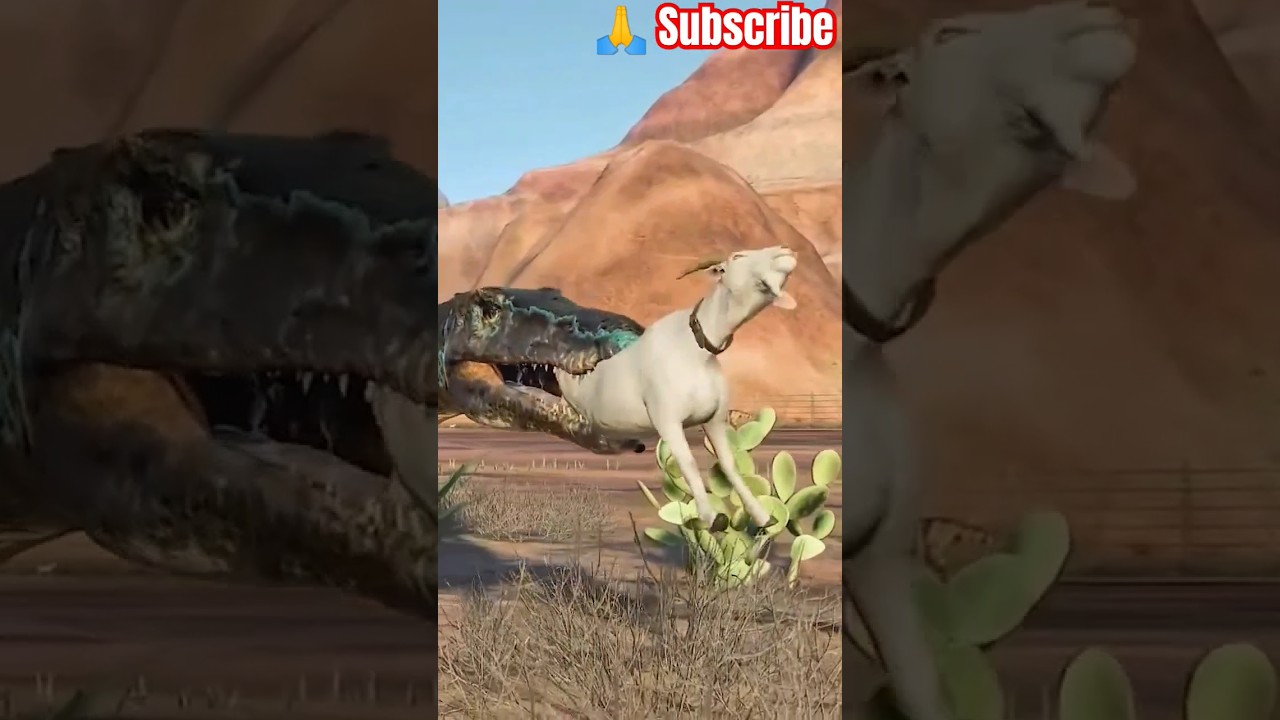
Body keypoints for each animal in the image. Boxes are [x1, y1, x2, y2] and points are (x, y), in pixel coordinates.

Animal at [554, 245, 798, 531]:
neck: (696, 349)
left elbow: (728, 463)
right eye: (737, 257)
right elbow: (689, 463)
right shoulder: (667, 420)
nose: (785, 251)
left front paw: (762, 516)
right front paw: (711, 517)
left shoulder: (715, 418)